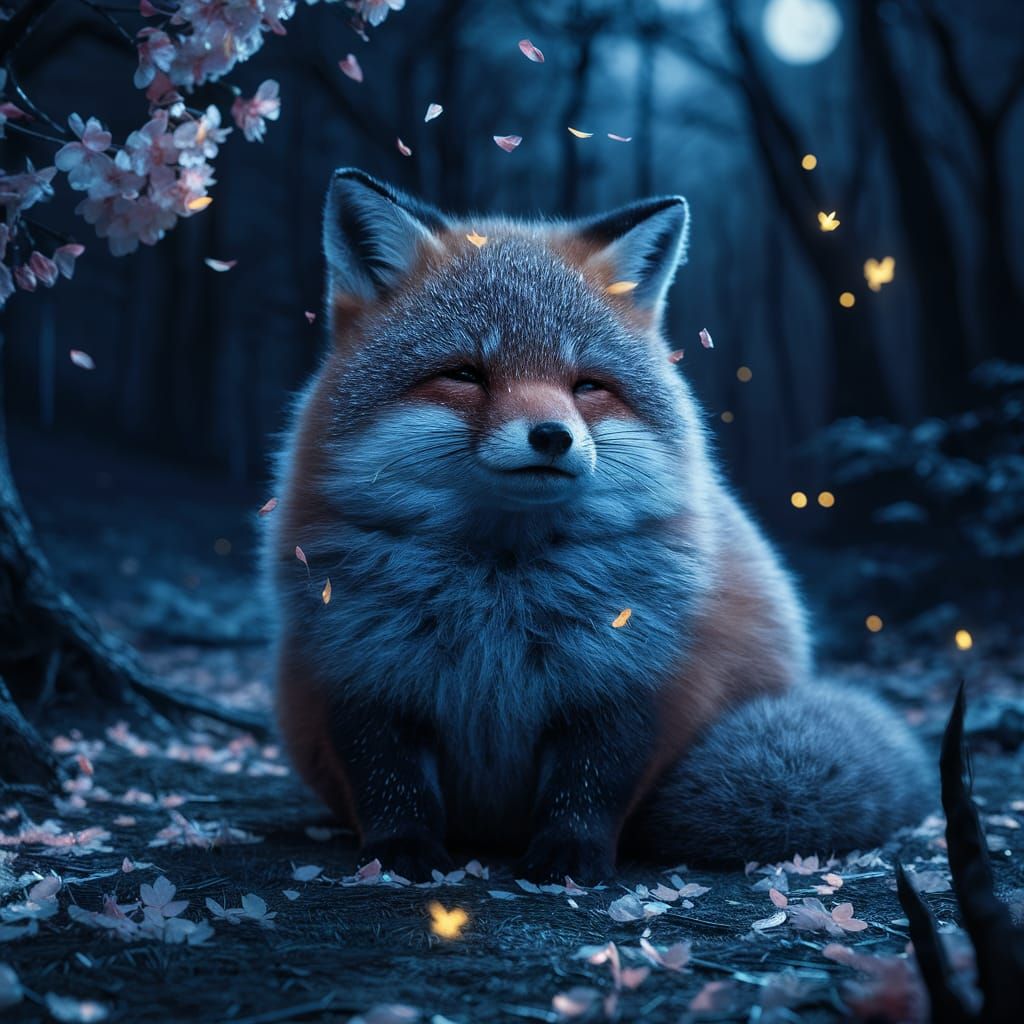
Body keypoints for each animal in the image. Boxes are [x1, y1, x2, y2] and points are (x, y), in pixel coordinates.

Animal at [261, 168, 931, 883]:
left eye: (587, 386)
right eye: (465, 374)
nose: (552, 436)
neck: (498, 597)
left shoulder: (627, 685)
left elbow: (590, 788)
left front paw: (570, 858)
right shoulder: (358, 673)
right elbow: (390, 786)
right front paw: (400, 856)